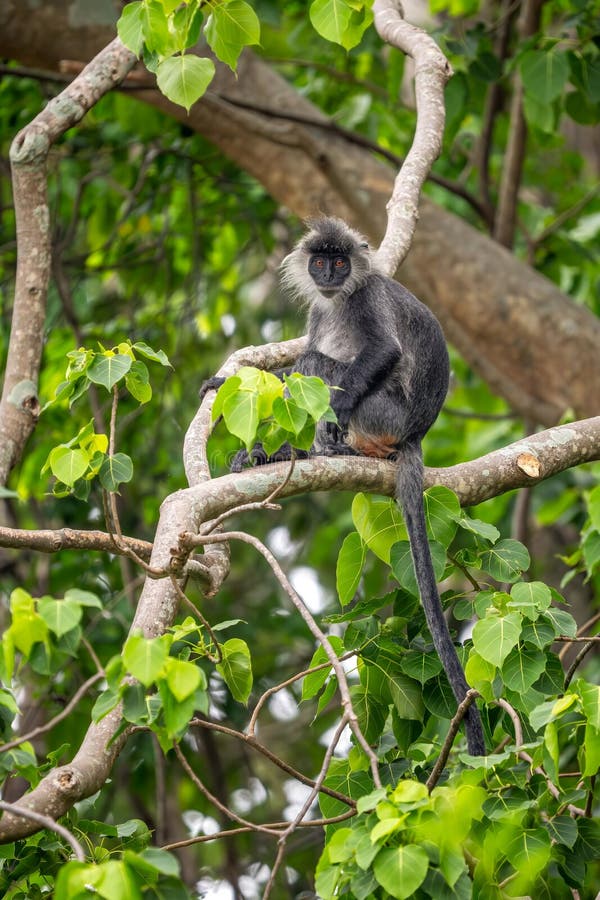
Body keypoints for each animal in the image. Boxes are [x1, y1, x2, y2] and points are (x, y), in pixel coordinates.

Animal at [201, 217, 486, 755]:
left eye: (340, 260)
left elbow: (382, 350)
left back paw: (325, 450)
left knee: (316, 367)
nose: (330, 274)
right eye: (320, 262)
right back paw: (278, 455)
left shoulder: (366, 300)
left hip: (382, 413)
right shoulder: (320, 307)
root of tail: (414, 433)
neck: (339, 298)